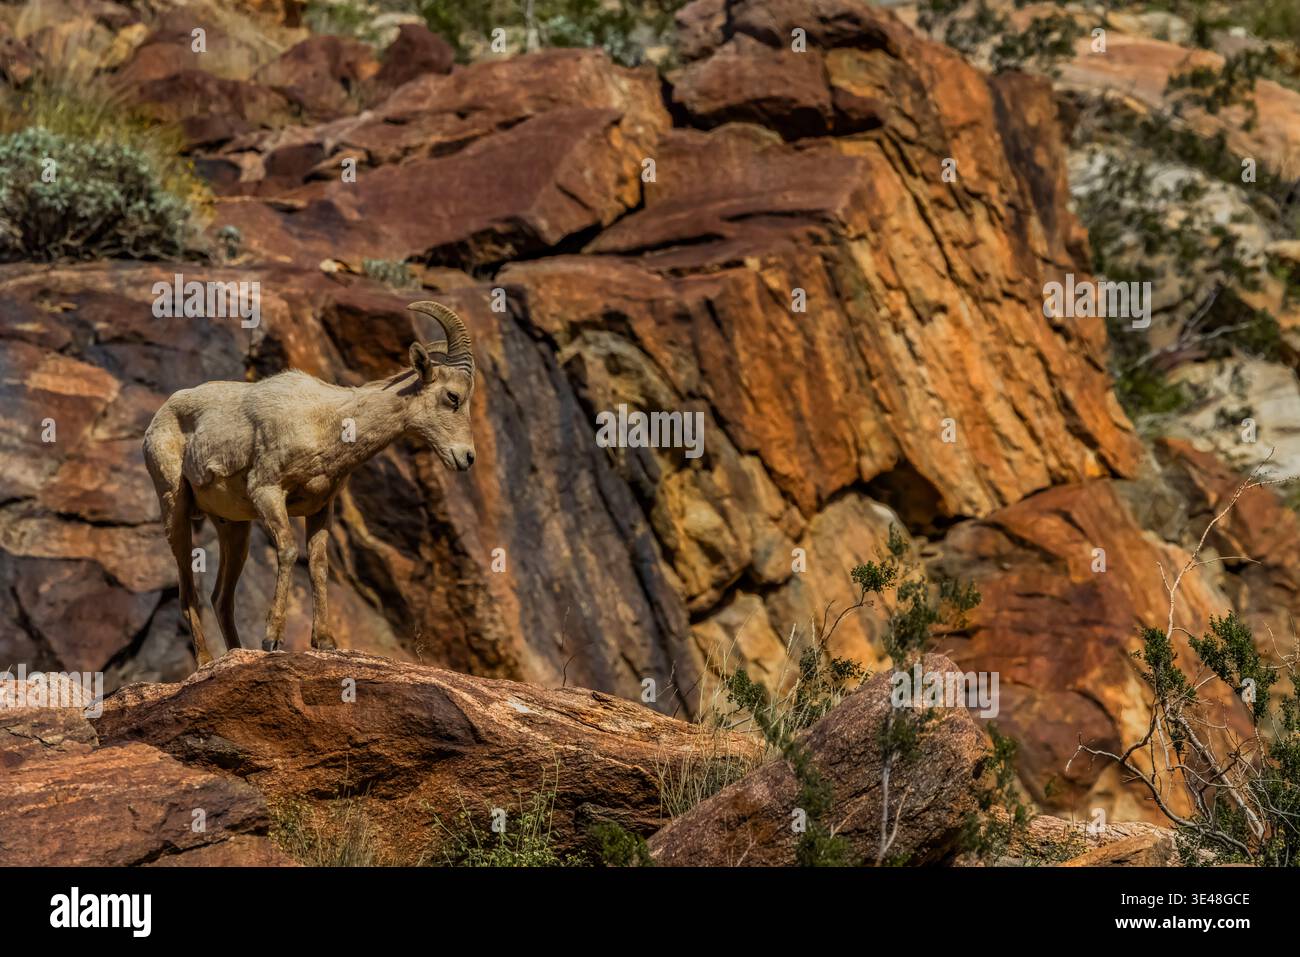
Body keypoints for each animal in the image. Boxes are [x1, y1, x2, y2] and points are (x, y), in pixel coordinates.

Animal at [142, 301, 476, 666]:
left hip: (234, 527)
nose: (467, 457)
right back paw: (205, 660)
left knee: (221, 597)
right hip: (174, 507)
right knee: (188, 589)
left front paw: (325, 642)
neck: (328, 422)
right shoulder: (268, 492)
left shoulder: (320, 509)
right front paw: (272, 638)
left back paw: (234, 653)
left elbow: (318, 565)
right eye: (453, 396)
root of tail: (158, 419)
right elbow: (288, 551)